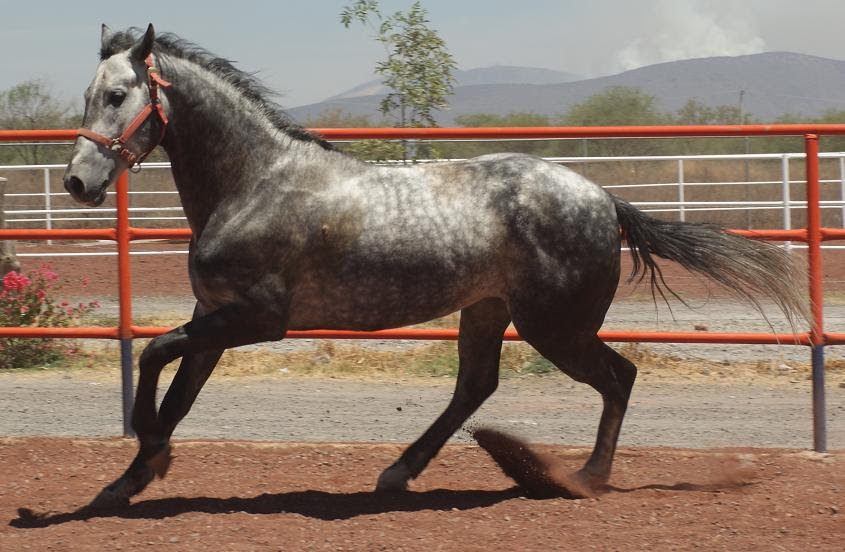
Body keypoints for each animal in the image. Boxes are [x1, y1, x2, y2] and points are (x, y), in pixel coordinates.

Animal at [63, 25, 808, 508]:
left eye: (118, 95)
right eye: (87, 95)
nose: (76, 182)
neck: (254, 183)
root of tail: (603, 200)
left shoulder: (255, 319)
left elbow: (154, 355)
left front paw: (149, 452)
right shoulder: (213, 316)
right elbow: (178, 387)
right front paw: (127, 481)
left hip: (555, 327)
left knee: (617, 377)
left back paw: (583, 479)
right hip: (487, 312)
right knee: (476, 387)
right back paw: (400, 472)